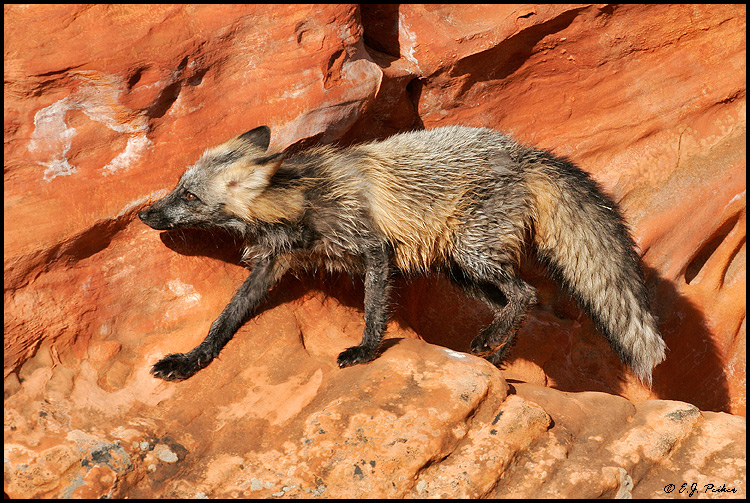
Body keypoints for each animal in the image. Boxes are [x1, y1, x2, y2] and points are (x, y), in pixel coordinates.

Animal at [138, 125, 667, 386]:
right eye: (178, 186)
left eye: (189, 196)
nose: (145, 213)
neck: (303, 201)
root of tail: (520, 152)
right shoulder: (270, 266)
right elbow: (224, 320)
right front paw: (192, 359)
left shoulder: (373, 249)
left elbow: (374, 310)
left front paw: (366, 352)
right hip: (461, 269)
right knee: (524, 302)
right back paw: (497, 355)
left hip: (471, 253)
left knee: (526, 292)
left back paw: (490, 343)